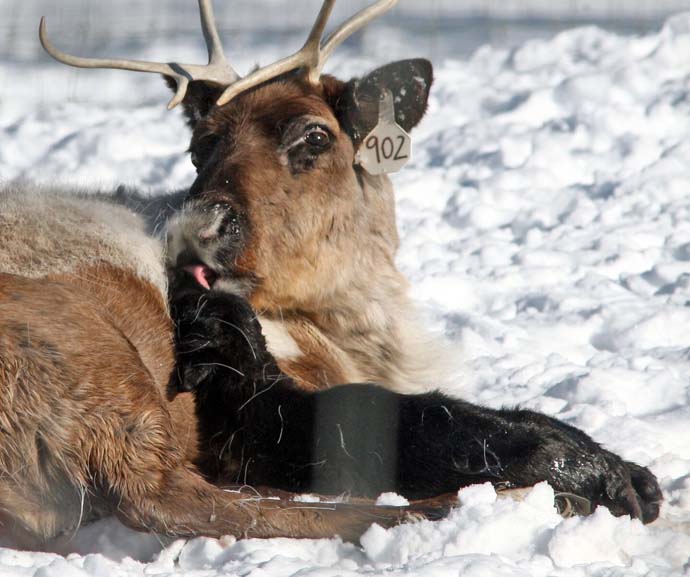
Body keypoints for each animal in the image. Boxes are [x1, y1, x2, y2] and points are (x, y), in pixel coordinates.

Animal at [7, 0, 659, 549]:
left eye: (314, 135)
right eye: (199, 146)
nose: (203, 226)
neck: (356, 323)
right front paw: (607, 473)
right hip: (97, 356)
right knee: (190, 501)